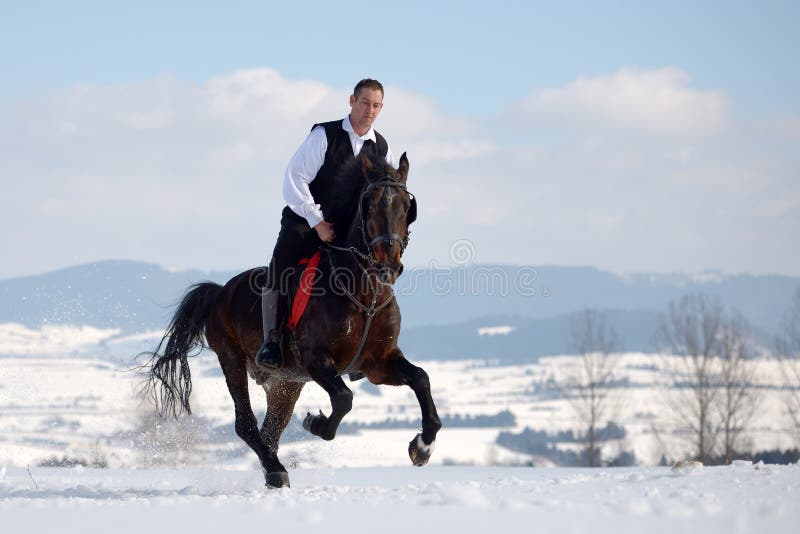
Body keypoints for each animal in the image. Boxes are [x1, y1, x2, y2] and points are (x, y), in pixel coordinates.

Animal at [142, 150, 441, 488]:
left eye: (406, 206)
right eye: (370, 205)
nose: (388, 265)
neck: (365, 295)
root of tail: (220, 291)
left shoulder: (379, 362)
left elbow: (421, 378)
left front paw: (422, 447)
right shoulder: (315, 360)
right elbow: (344, 397)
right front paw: (315, 423)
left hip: (286, 384)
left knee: (270, 431)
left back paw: (272, 469)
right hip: (232, 359)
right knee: (246, 424)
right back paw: (276, 470)